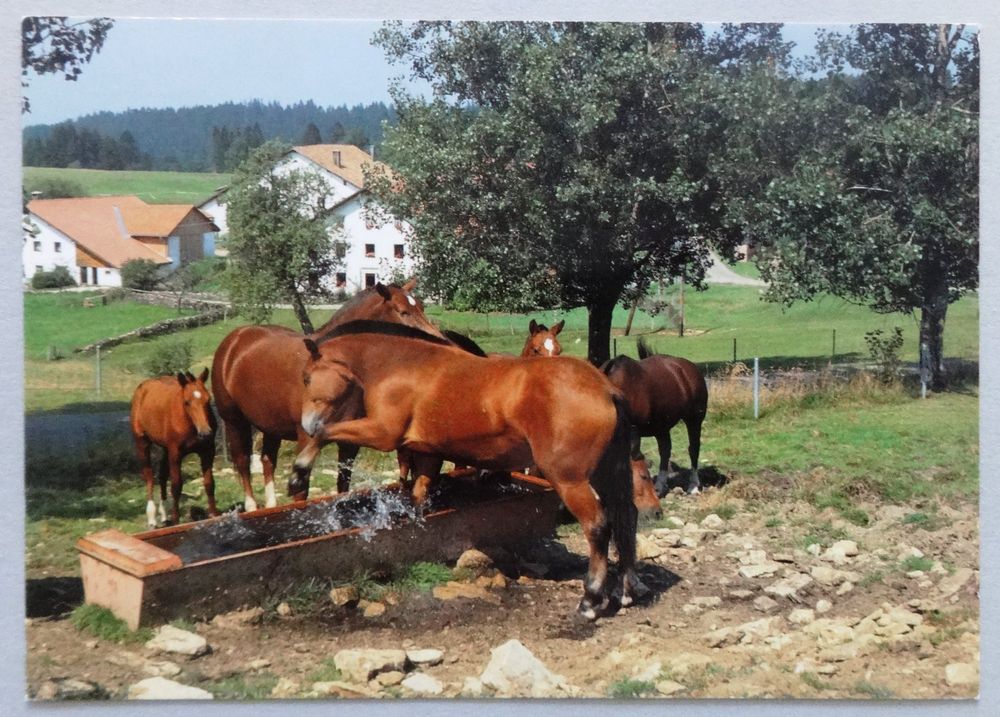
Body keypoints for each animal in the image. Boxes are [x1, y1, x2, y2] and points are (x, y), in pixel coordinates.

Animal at [130, 369, 218, 527]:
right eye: (187, 402)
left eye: (208, 400)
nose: (205, 432)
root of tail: (143, 387)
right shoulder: (176, 454)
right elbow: (176, 486)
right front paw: (176, 520)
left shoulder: (207, 451)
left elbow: (209, 483)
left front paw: (213, 514)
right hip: (142, 443)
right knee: (149, 476)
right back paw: (152, 517)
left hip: (165, 449)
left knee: (162, 475)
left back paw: (165, 515)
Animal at [211, 280, 446, 511]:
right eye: (403, 311)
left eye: (421, 306)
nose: (440, 341)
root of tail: (235, 339)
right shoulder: (306, 435)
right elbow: (301, 491)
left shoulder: (350, 439)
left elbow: (343, 482)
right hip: (234, 421)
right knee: (243, 462)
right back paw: (252, 507)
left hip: (270, 424)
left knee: (268, 460)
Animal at [293, 320, 644, 619]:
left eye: (307, 378)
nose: (305, 423)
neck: (403, 365)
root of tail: (605, 389)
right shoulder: (427, 453)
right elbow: (417, 499)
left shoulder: (381, 433)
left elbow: (326, 433)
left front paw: (299, 471)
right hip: (607, 474)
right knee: (626, 517)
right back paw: (627, 589)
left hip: (571, 481)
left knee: (598, 526)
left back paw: (591, 599)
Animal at [602, 337, 708, 496]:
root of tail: (687, 368)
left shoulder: (633, 434)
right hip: (662, 426)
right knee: (665, 450)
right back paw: (659, 486)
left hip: (694, 419)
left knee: (693, 448)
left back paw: (694, 485)